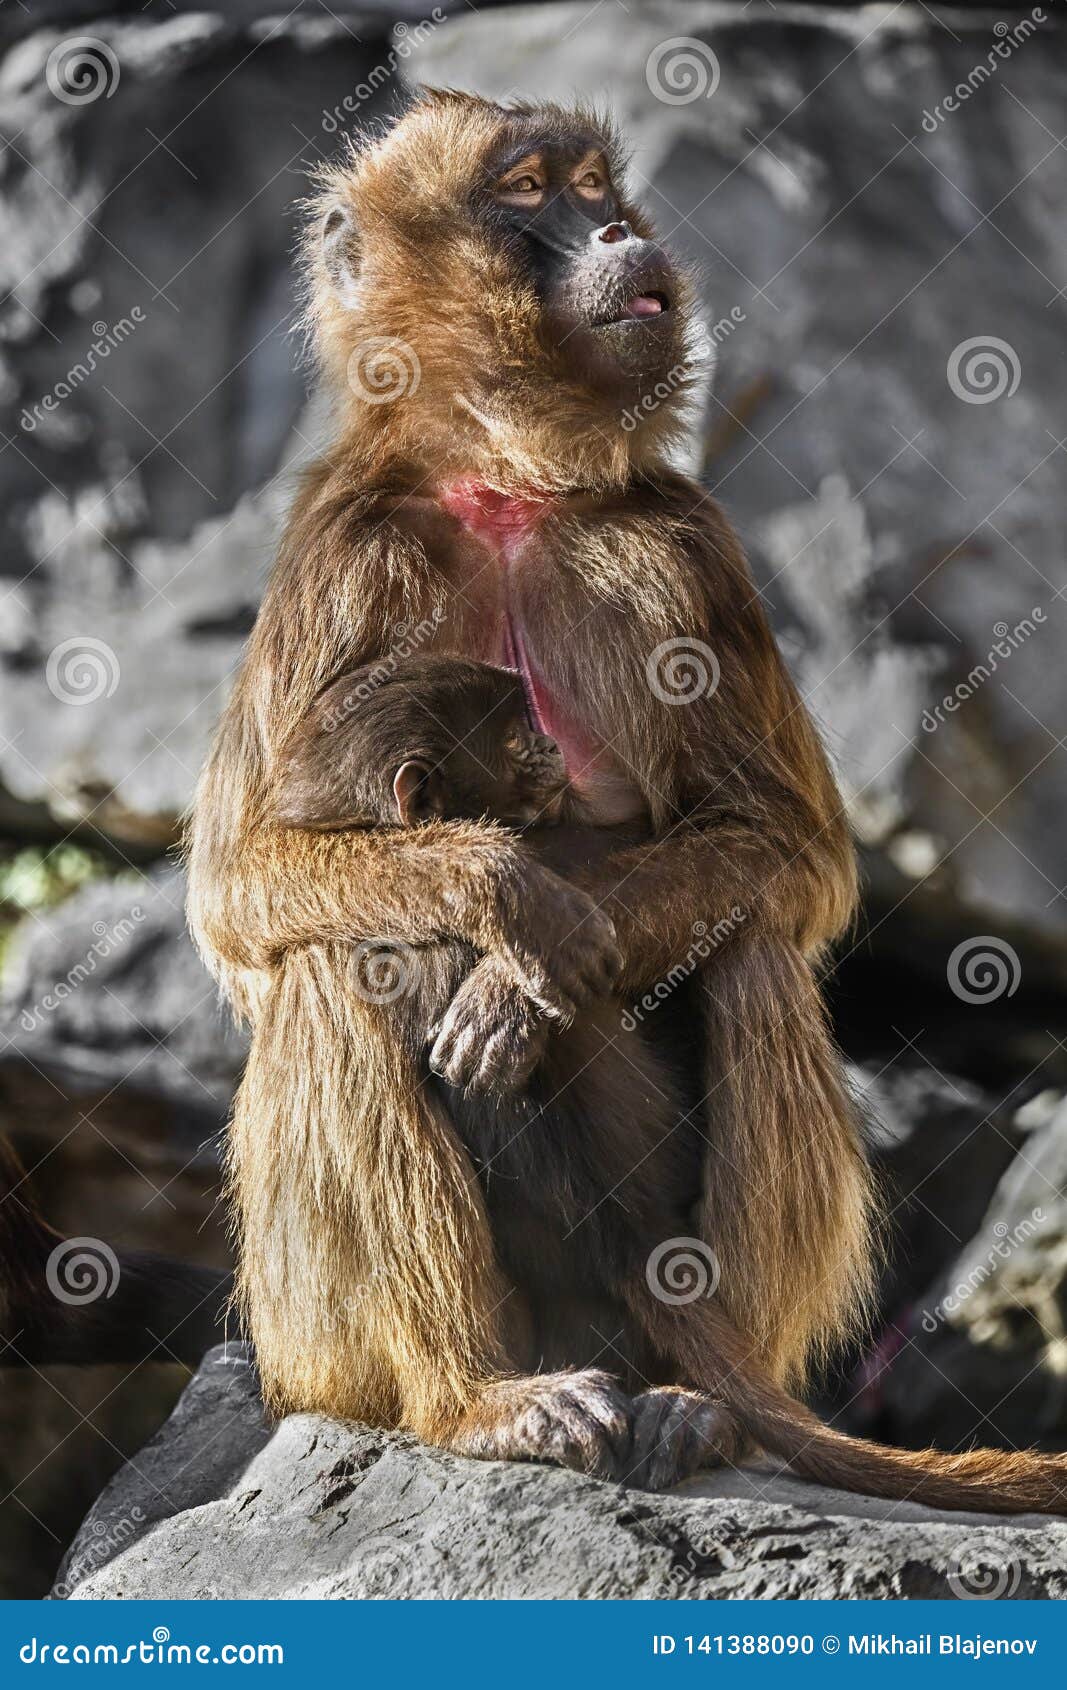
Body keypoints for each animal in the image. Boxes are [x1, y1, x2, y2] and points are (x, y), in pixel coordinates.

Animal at [185, 91, 1067, 1510]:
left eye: (594, 184)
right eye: (526, 190)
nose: (609, 229)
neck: (504, 483)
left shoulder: (682, 544)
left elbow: (788, 853)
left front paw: (526, 970)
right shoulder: (334, 555)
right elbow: (240, 893)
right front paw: (500, 899)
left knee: (750, 948)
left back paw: (707, 1407)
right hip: (330, 1351)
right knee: (336, 962)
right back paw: (475, 1397)